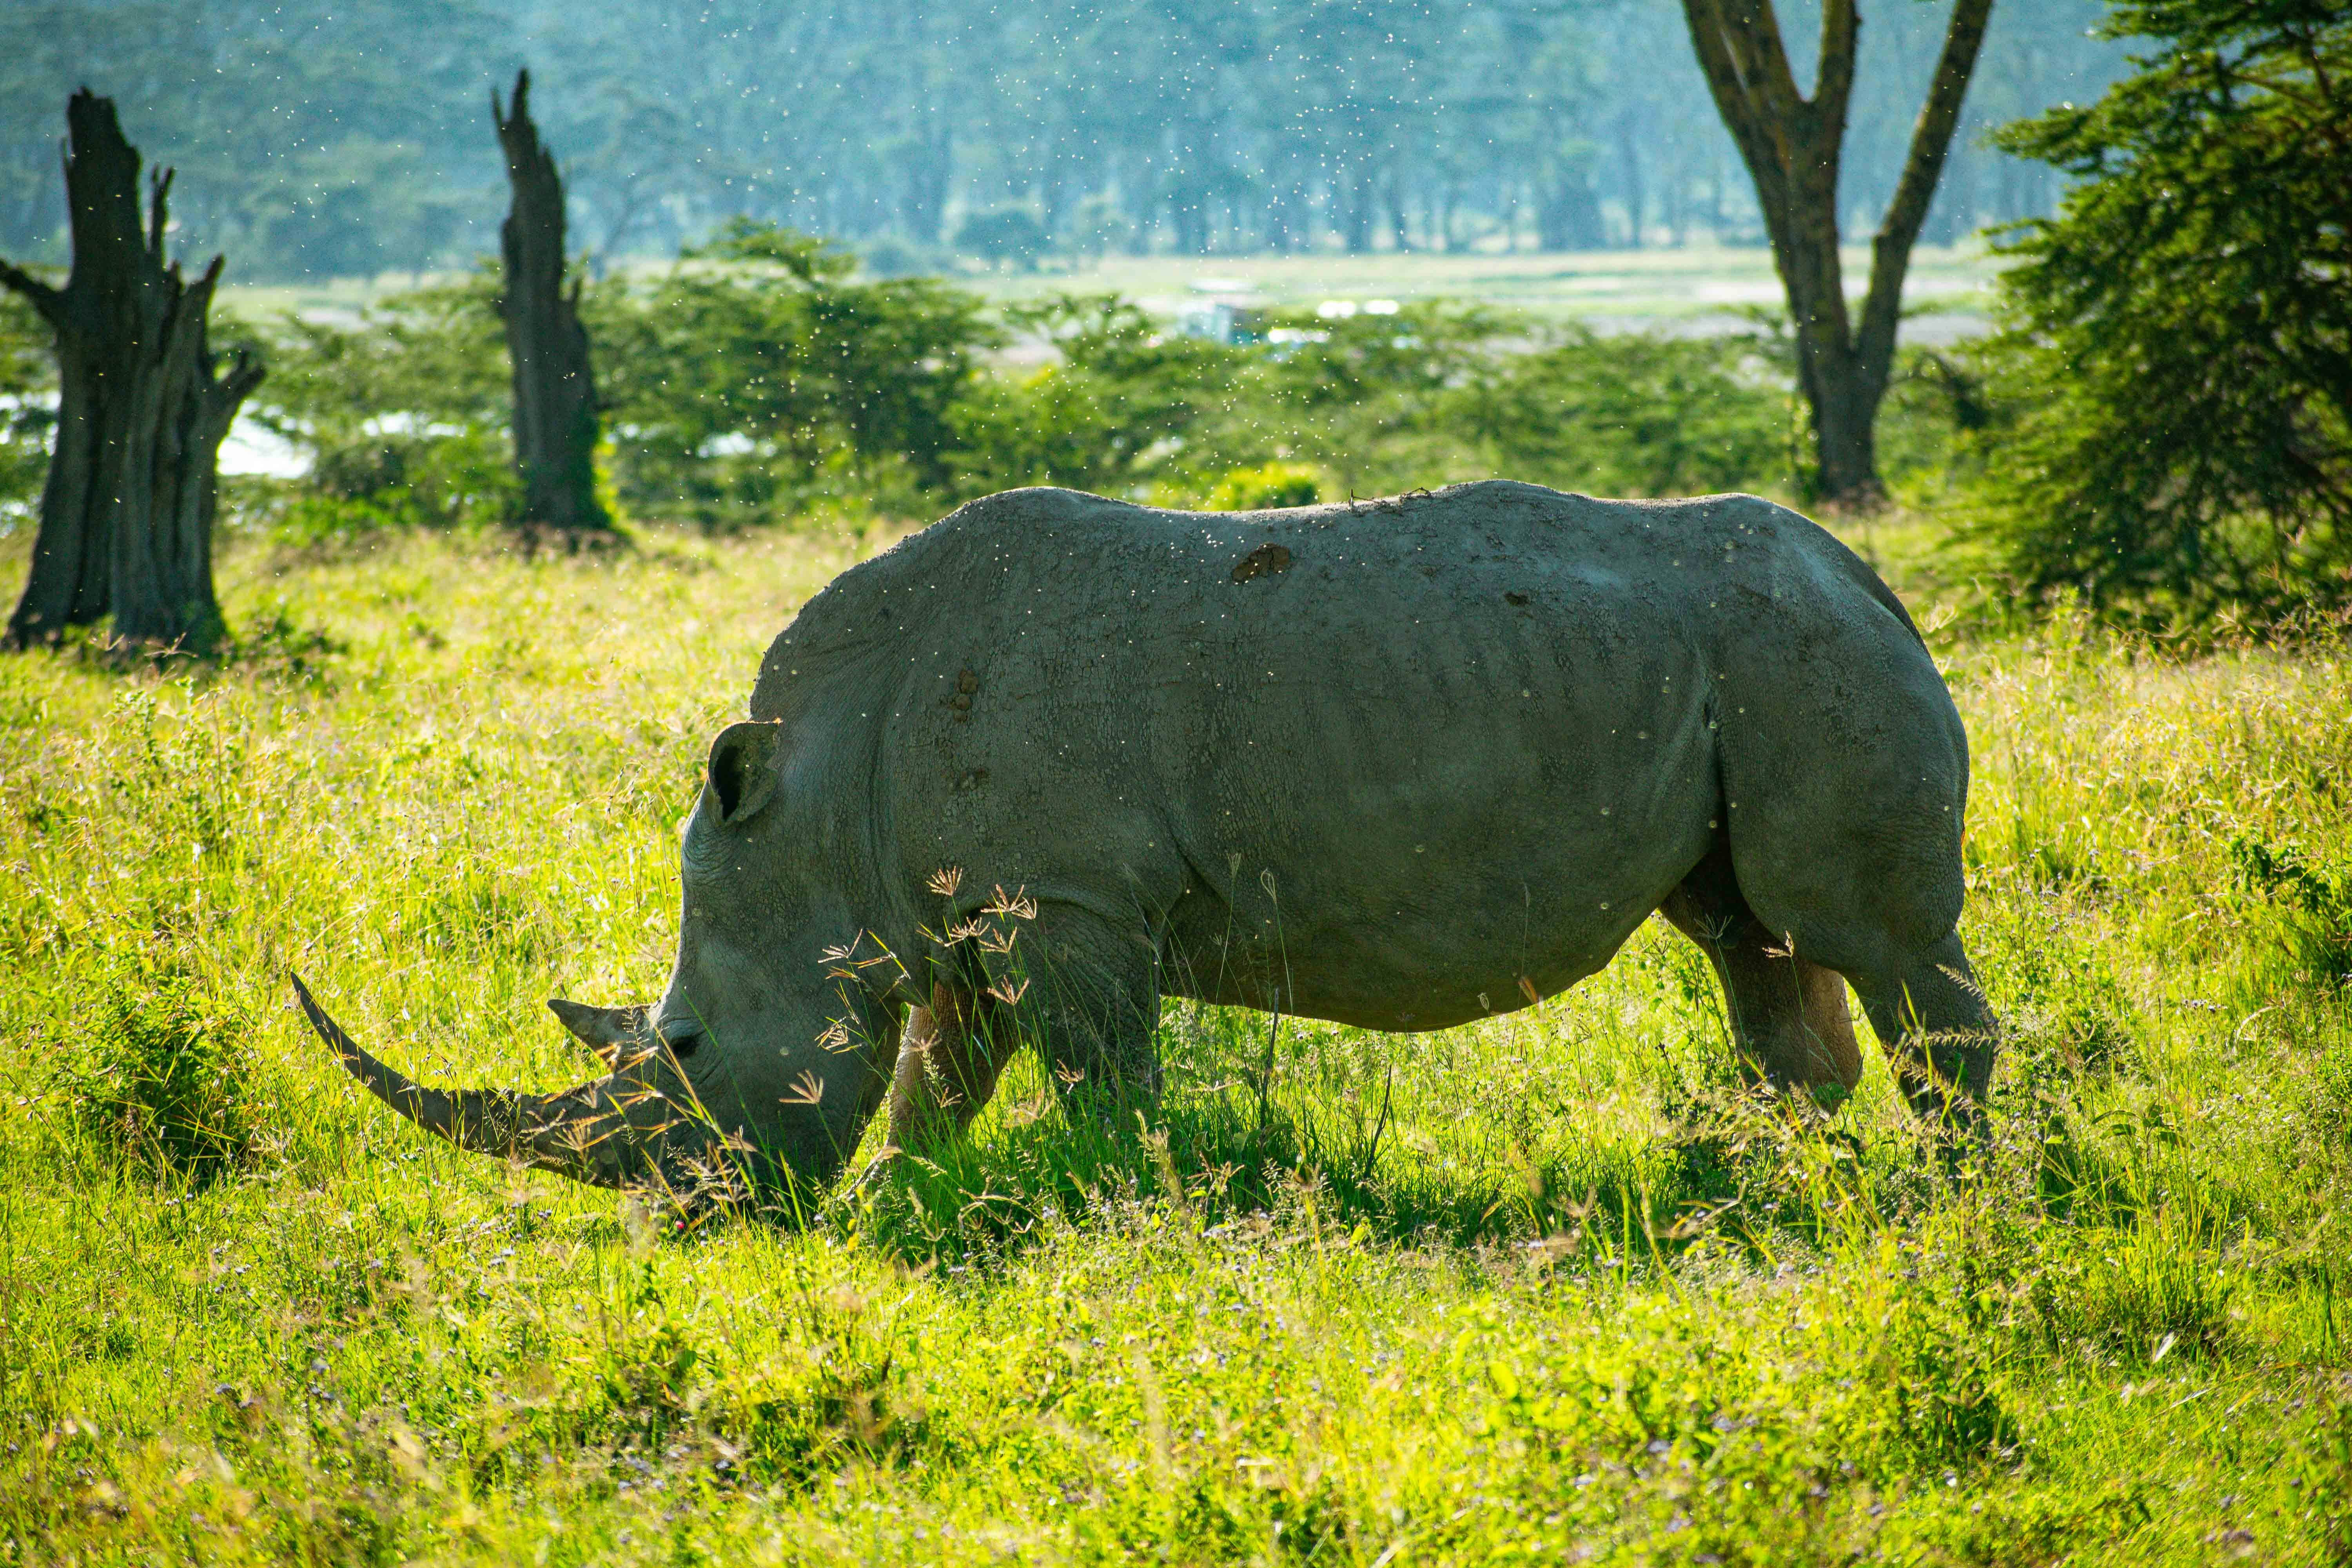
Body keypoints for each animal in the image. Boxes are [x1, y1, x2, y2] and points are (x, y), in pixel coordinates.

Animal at [293, 481, 1999, 1206]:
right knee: (1751, 935)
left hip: (1796, 655)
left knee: (1871, 941)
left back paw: (1965, 1199)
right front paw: (890, 1212)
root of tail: (1873, 572)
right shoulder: (963, 916)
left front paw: (1127, 1211)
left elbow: (1099, 1086)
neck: (817, 798)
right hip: (1734, 668)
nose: (688, 1218)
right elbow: (932, 1088)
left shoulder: (1066, 906)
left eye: (692, 1049)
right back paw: (1780, 1189)